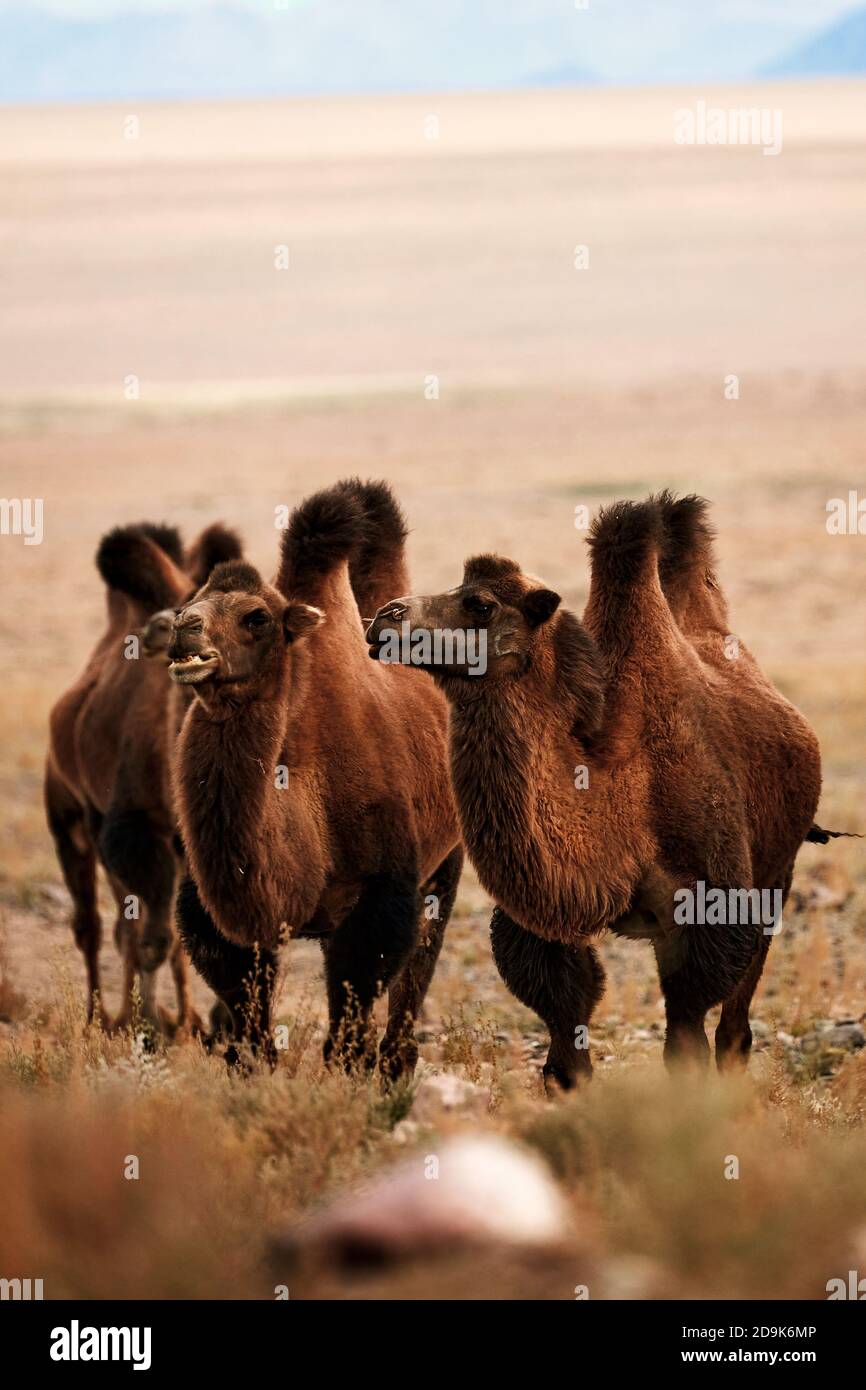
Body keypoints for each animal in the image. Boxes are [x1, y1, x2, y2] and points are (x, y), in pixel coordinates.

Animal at [45, 520, 242, 1031]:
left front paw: (214, 1023)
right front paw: (148, 1026)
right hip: (68, 814)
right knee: (95, 926)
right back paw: (101, 1017)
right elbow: (152, 937)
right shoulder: (133, 828)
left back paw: (182, 1019)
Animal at [170, 480, 462, 1080]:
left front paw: (350, 1073)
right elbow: (244, 995)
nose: (182, 629)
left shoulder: (382, 889)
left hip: (447, 857)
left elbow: (358, 989)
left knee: (422, 954)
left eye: (256, 617)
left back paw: (396, 1062)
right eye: (188, 604)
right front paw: (254, 1067)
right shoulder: (214, 912)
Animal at [365, 492, 825, 1087]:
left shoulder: (708, 905)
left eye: (480, 604)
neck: (622, 794)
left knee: (738, 1014)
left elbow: (686, 1036)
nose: (384, 617)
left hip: (779, 868)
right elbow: (565, 1029)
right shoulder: (547, 927)